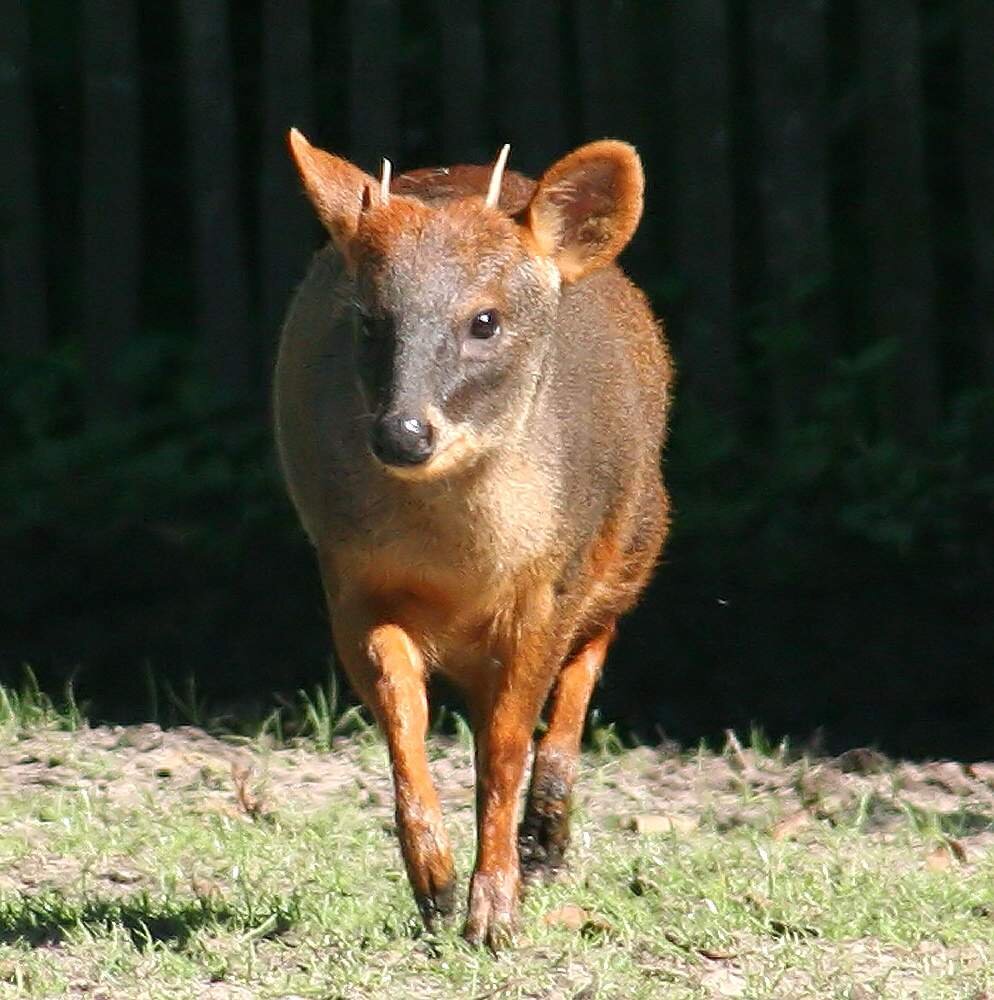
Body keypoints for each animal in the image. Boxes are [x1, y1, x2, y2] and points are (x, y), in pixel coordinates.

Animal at [276, 131, 672, 944]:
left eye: (484, 321)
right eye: (370, 321)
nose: (401, 433)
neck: (462, 562)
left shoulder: (550, 582)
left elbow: (506, 744)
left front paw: (493, 911)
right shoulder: (349, 579)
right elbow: (404, 714)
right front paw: (434, 882)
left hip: (635, 532)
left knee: (590, 655)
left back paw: (547, 831)